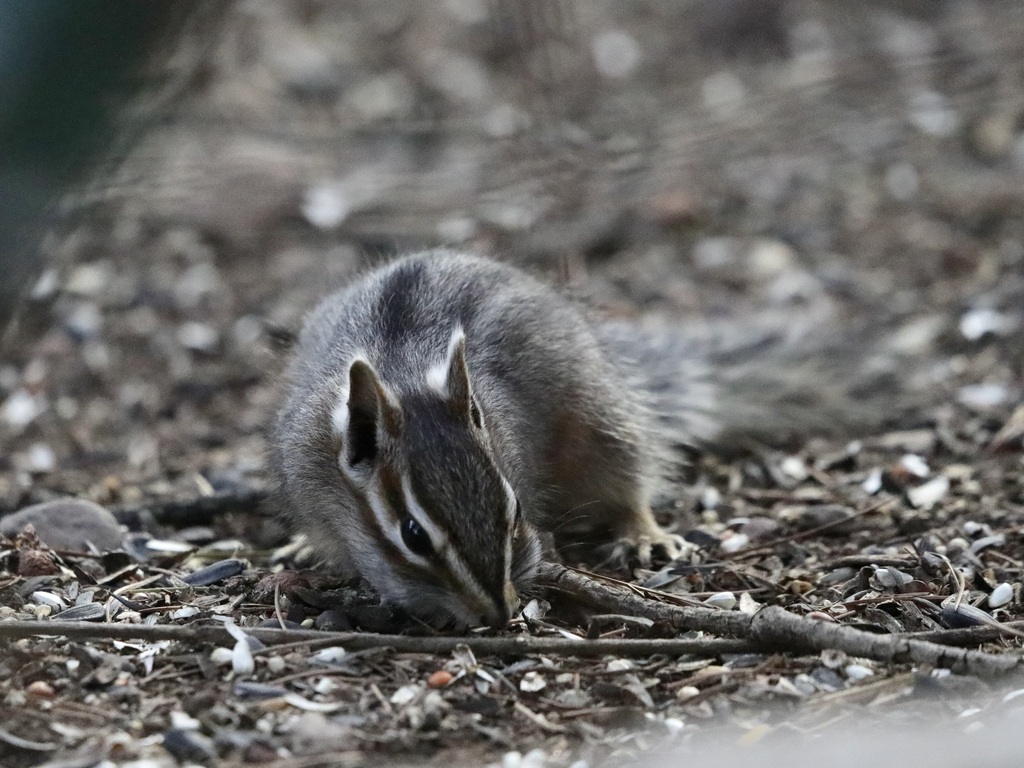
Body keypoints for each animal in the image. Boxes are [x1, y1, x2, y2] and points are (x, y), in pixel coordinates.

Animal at [273, 249, 926, 628]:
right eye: (412, 534)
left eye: (514, 512)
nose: (500, 613)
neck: (404, 374)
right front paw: (311, 551)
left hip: (602, 418)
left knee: (628, 476)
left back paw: (645, 535)